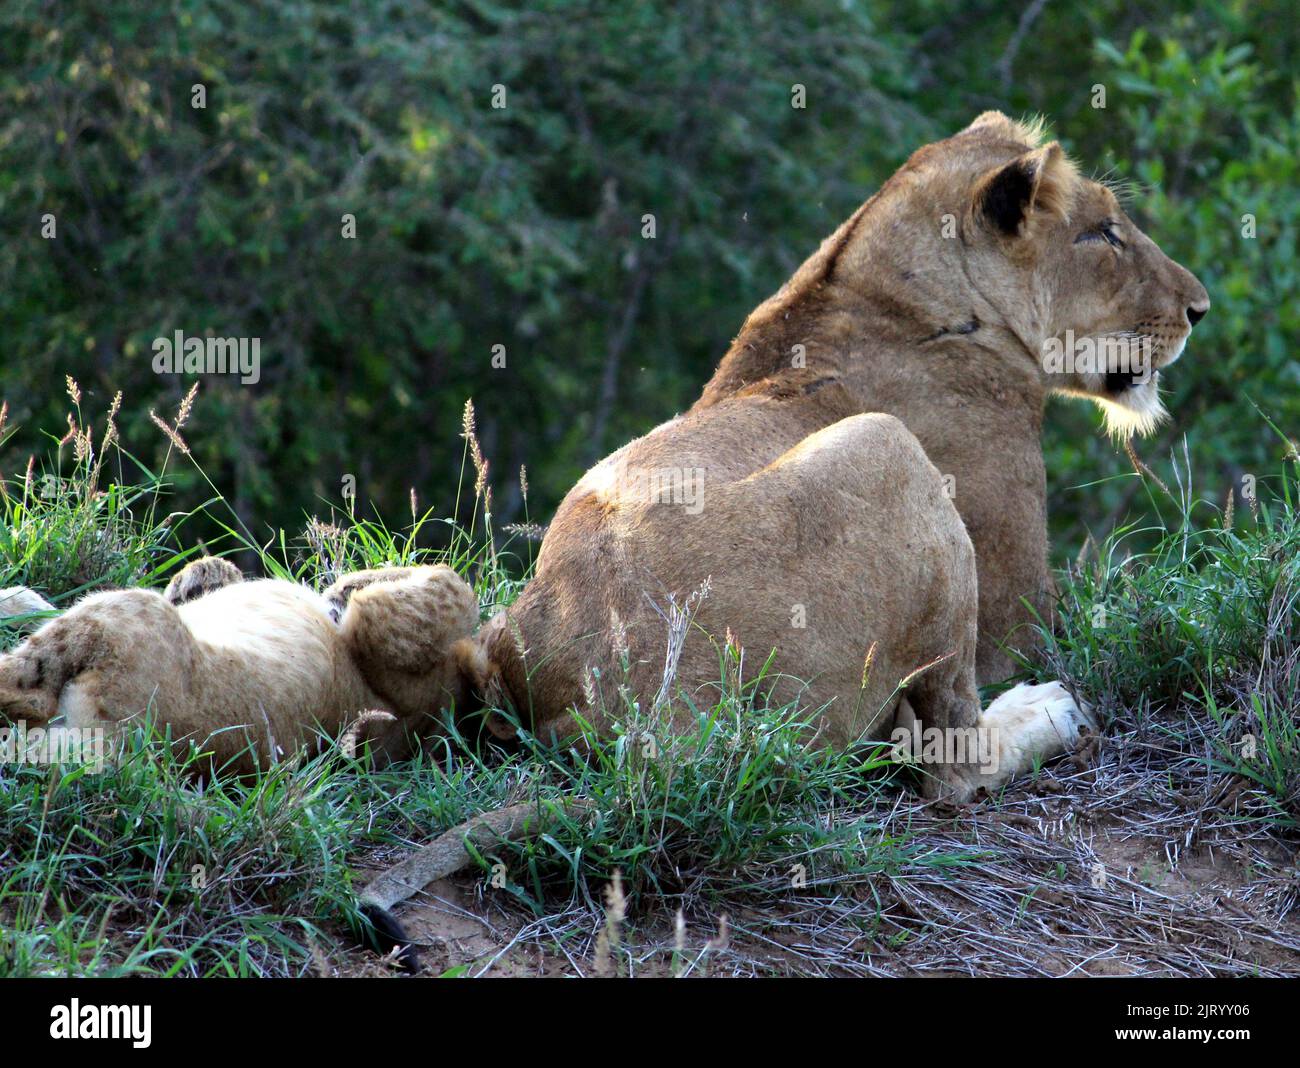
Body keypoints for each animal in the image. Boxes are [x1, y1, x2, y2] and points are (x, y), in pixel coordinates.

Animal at [464, 111, 1209, 801]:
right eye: (1102, 232)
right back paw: (1049, 710)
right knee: (951, 765)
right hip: (888, 448)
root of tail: (637, 708)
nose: (1198, 308)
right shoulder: (1016, 615)